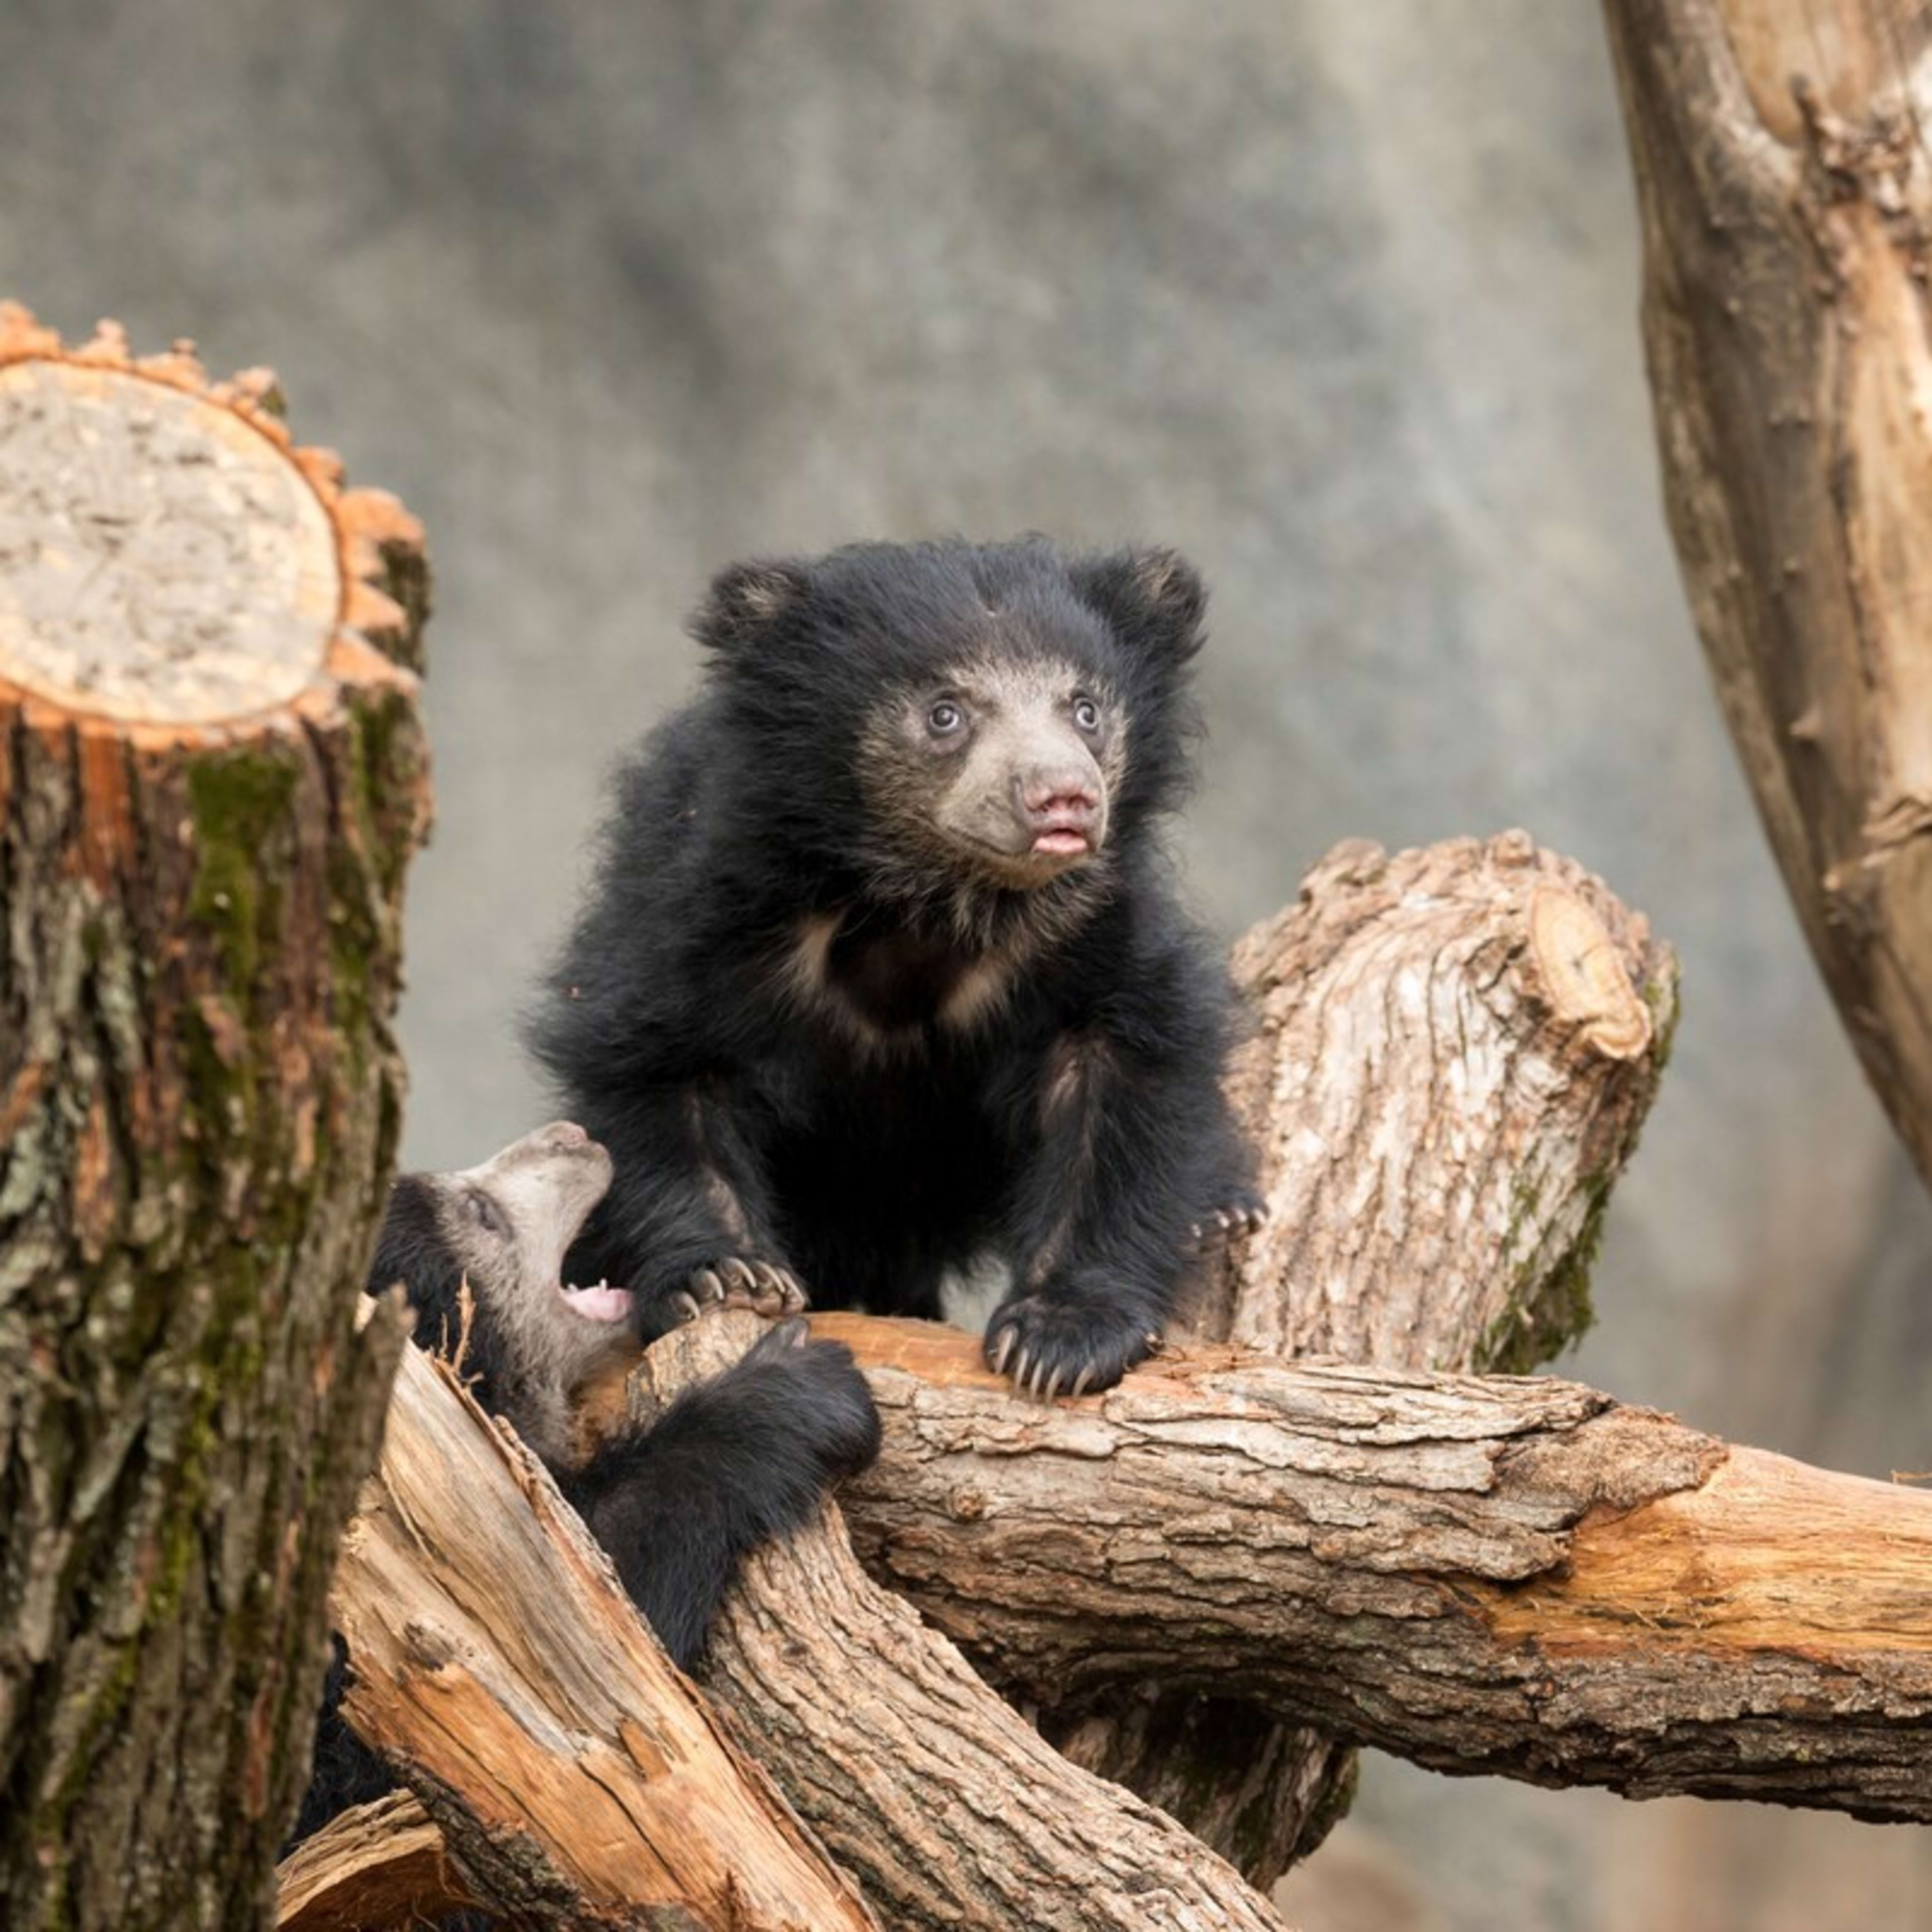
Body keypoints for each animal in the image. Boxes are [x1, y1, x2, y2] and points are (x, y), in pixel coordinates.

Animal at [528, 537, 1258, 1400]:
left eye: (1085, 709)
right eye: (945, 713)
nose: (1064, 801)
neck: (932, 899)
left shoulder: (1091, 933)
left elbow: (1118, 1079)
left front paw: (1059, 1338)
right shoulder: (703, 909)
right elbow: (663, 1070)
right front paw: (727, 1277)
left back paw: (1221, 1210)